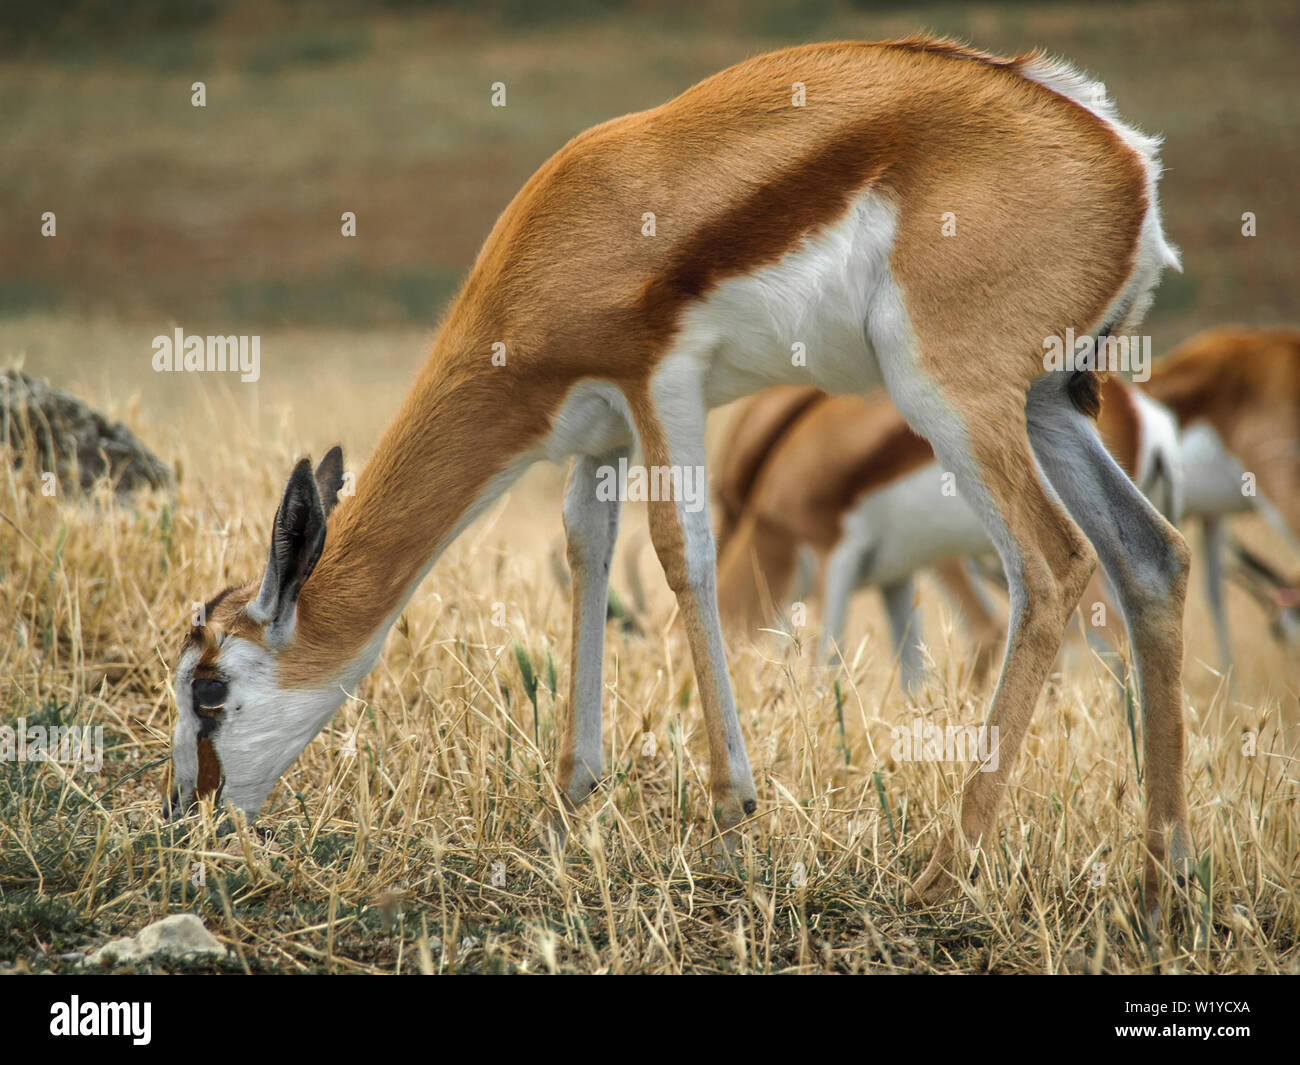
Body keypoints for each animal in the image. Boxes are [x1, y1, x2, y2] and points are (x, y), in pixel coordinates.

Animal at [714, 376, 1184, 691]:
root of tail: (1146, 417)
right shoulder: (893, 579)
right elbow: (911, 672)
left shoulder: (834, 555)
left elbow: (824, 659)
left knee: (1114, 640)